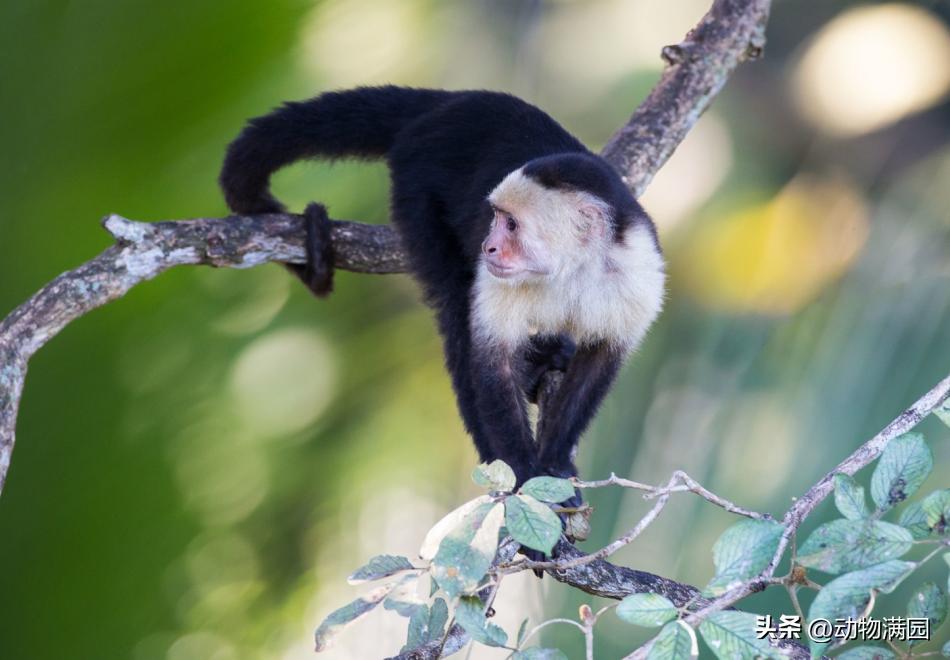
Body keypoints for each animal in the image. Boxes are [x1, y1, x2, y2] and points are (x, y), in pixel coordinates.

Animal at [219, 86, 665, 511]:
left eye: (512, 225)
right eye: (496, 217)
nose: (488, 246)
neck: (572, 268)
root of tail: (454, 101)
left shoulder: (640, 276)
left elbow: (599, 362)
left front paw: (555, 462)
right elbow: (492, 366)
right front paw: (525, 478)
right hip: (416, 178)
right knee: (455, 306)